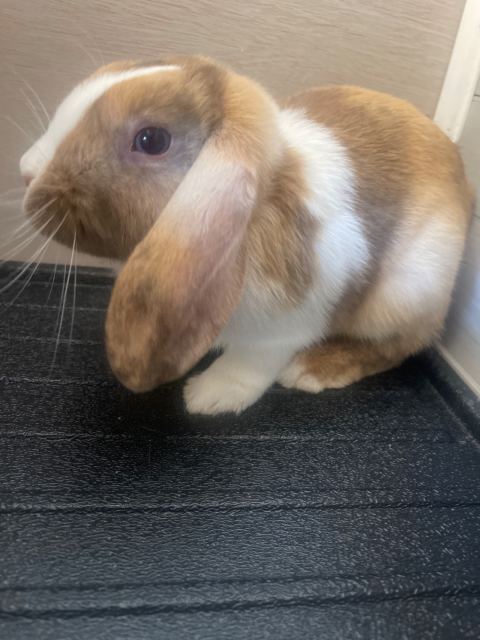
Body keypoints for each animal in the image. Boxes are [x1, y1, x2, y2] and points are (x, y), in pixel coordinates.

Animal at [20, 55, 473, 415]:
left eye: (151, 140)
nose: (25, 169)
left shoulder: (286, 324)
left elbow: (250, 365)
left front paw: (208, 398)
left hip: (404, 295)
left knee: (401, 345)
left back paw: (312, 369)